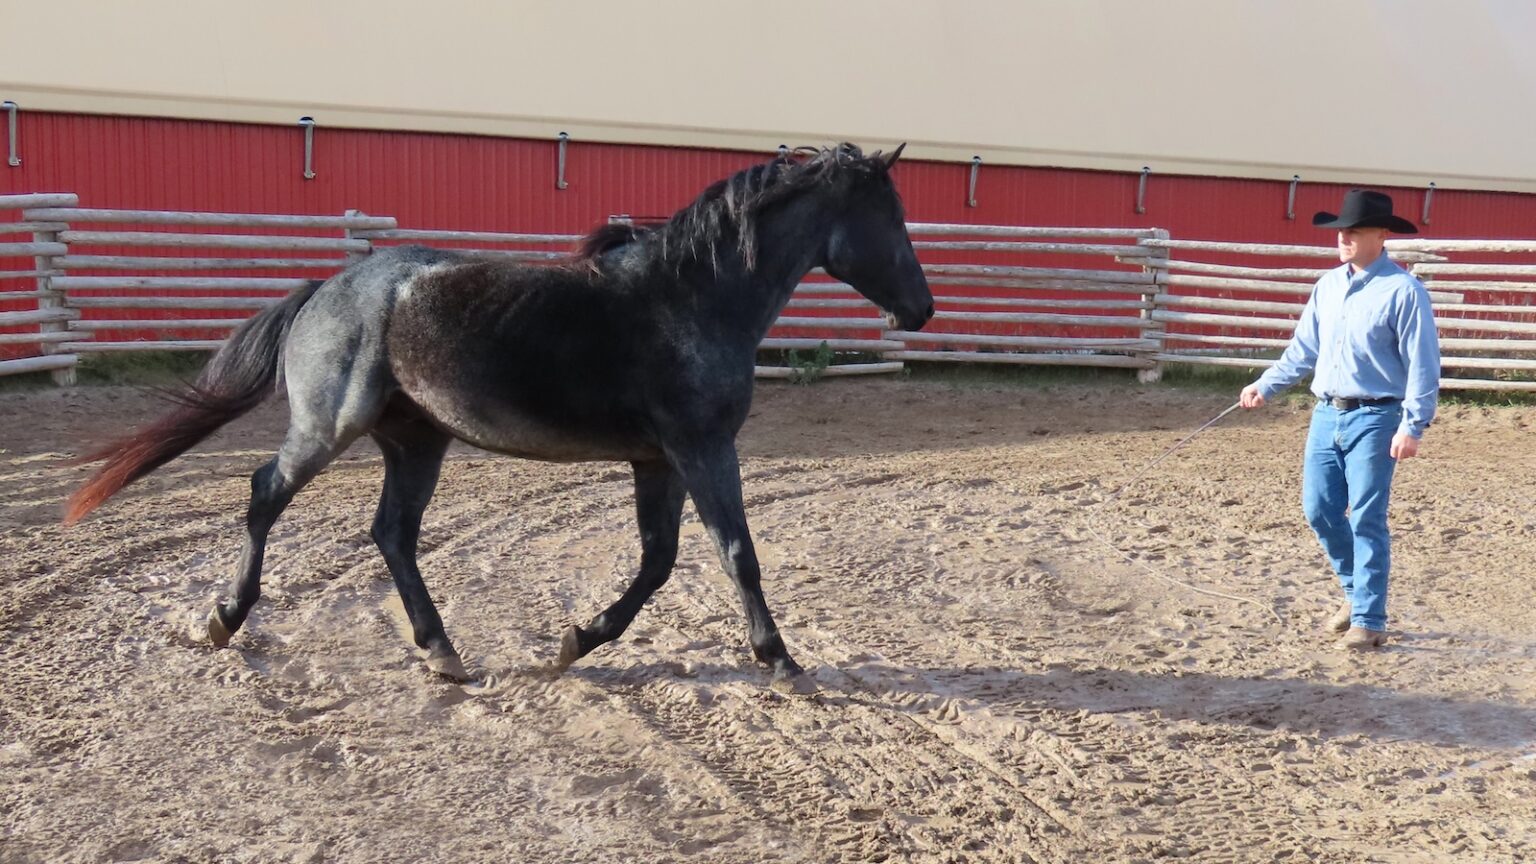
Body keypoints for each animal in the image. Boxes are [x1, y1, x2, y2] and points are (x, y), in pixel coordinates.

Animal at [65, 143, 934, 693]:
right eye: (891, 219)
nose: (922, 309)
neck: (690, 298)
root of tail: (325, 289)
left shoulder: (658, 460)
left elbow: (658, 562)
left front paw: (576, 641)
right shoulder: (701, 448)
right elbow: (735, 554)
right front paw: (780, 661)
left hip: (416, 440)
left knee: (391, 534)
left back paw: (443, 653)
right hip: (327, 427)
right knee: (264, 495)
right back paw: (224, 618)